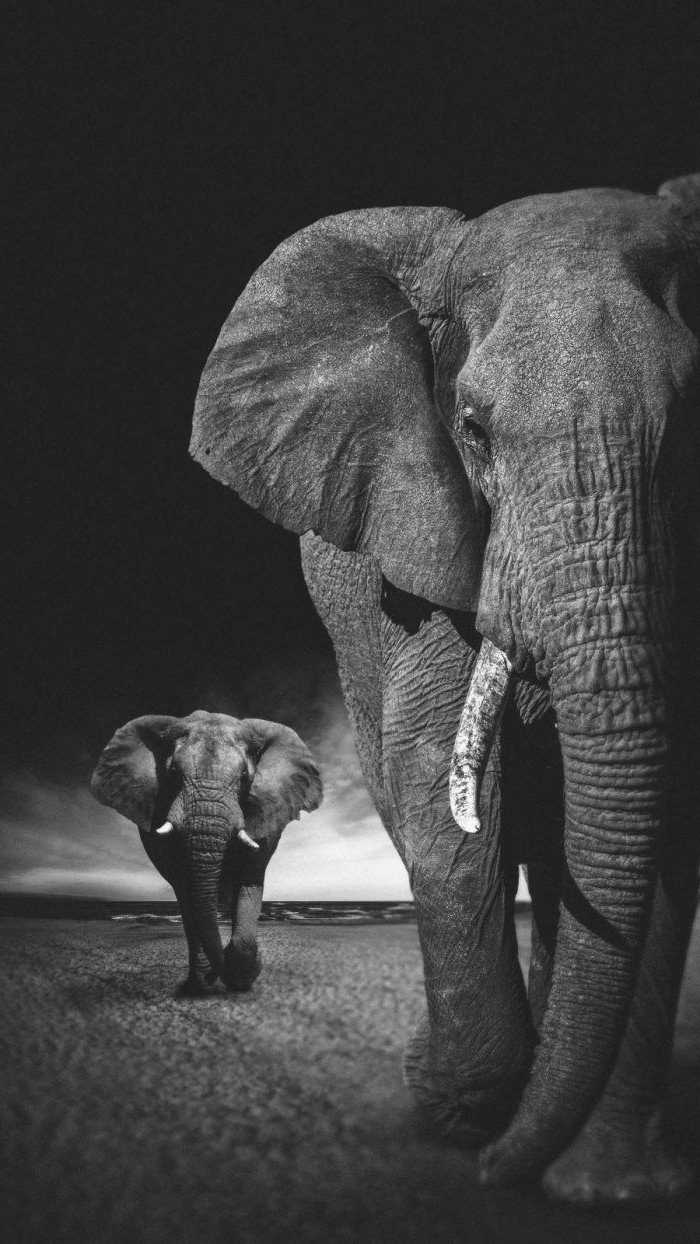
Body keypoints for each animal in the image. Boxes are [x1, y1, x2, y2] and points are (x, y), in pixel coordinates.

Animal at [91, 711, 322, 993]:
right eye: (173, 773)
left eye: (244, 776)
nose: (218, 973)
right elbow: (186, 888)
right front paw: (219, 976)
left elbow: (249, 879)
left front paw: (241, 974)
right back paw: (200, 983)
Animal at [187, 174, 700, 1202]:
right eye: (472, 430)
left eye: (698, 420)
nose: (495, 1176)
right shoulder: (418, 549)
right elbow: (443, 793)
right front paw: (463, 1111)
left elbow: (672, 819)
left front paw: (602, 1189)